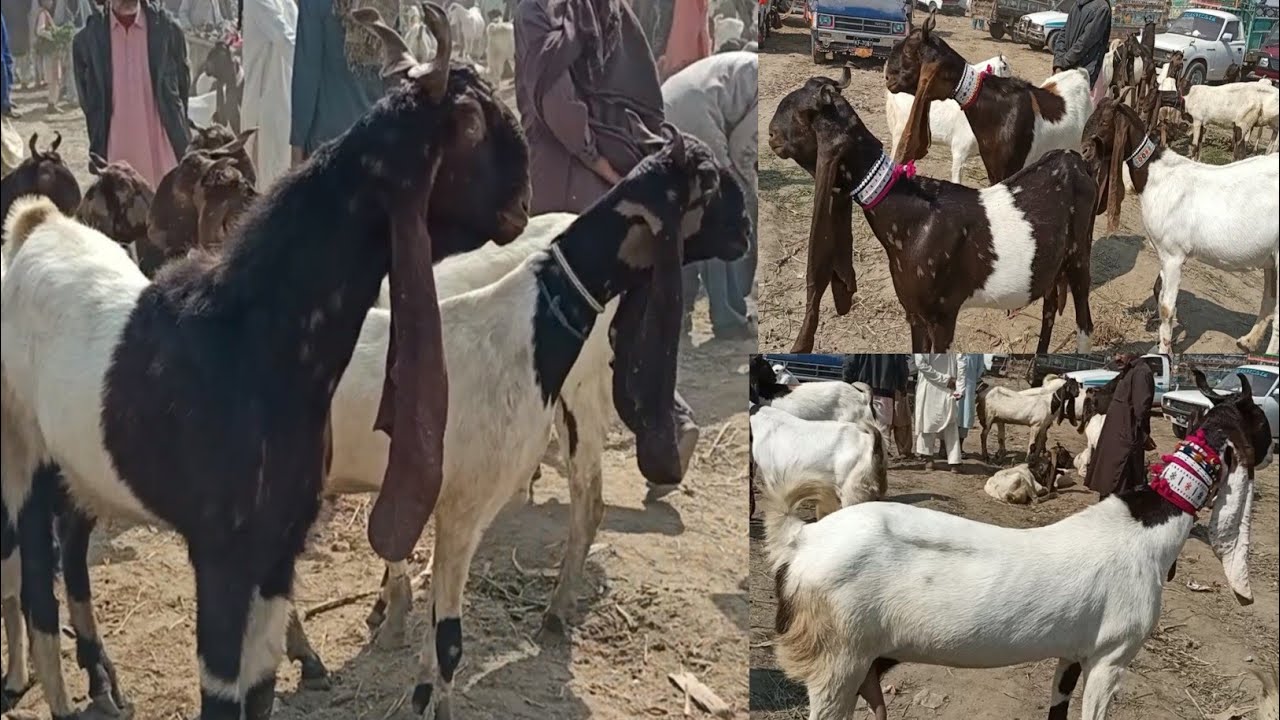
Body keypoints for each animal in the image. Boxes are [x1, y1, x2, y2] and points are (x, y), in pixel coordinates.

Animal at [0, 9, 531, 718]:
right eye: (473, 124)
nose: (523, 203)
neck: (249, 340)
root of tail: (33, 226)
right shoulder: (223, 555)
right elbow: (224, 691)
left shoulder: (279, 549)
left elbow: (261, 685)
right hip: (24, 465)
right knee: (37, 590)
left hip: (79, 473)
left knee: (72, 559)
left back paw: (104, 681)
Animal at [768, 68, 1097, 352]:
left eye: (797, 112)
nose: (771, 135)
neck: (913, 218)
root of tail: (1075, 162)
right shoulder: (914, 313)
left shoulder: (942, 315)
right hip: (1055, 265)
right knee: (1050, 306)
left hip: (1080, 256)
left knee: (1085, 322)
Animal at [1082, 97, 1279, 355]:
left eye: (1105, 121)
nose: (1084, 150)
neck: (1156, 174)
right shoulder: (1163, 254)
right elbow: (1159, 294)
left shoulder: (1173, 254)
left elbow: (1166, 306)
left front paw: (1165, 353)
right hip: (1271, 258)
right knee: (1269, 297)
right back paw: (1248, 342)